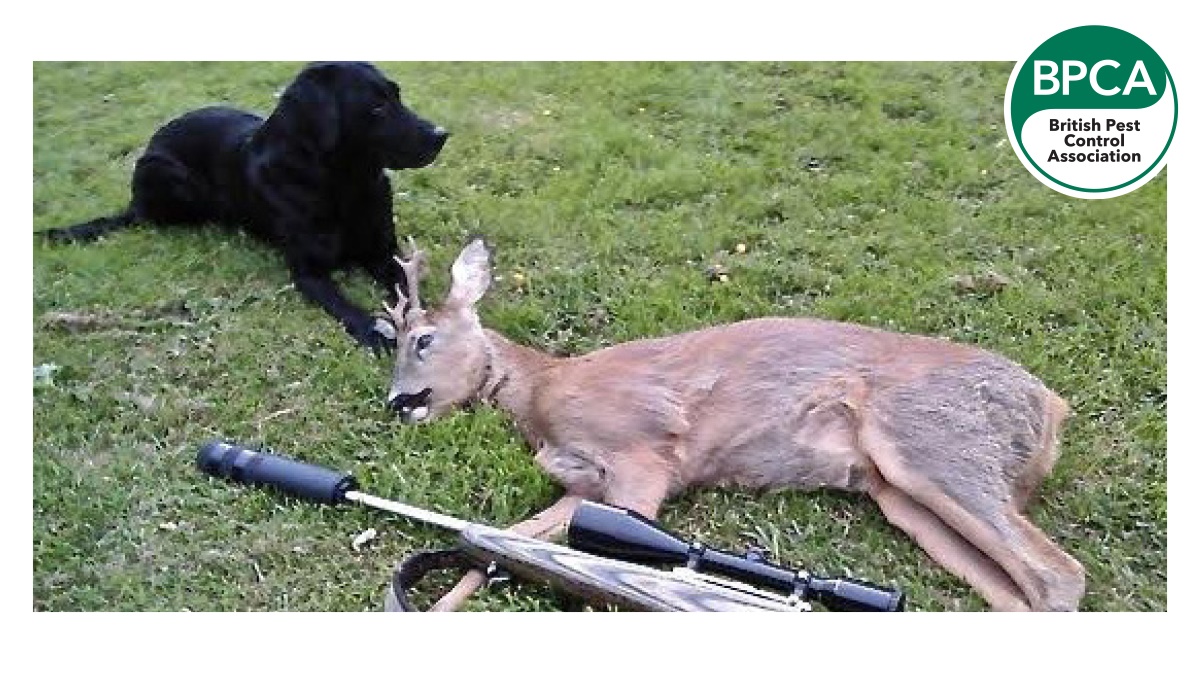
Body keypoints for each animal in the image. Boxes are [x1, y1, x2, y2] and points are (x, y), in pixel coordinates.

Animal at [381, 238, 1086, 612]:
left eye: (422, 339)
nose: (397, 401)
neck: (542, 393)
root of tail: (1052, 411)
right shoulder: (589, 485)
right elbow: (507, 540)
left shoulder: (643, 454)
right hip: (901, 492)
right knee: (1020, 589)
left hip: (935, 444)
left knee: (1059, 574)